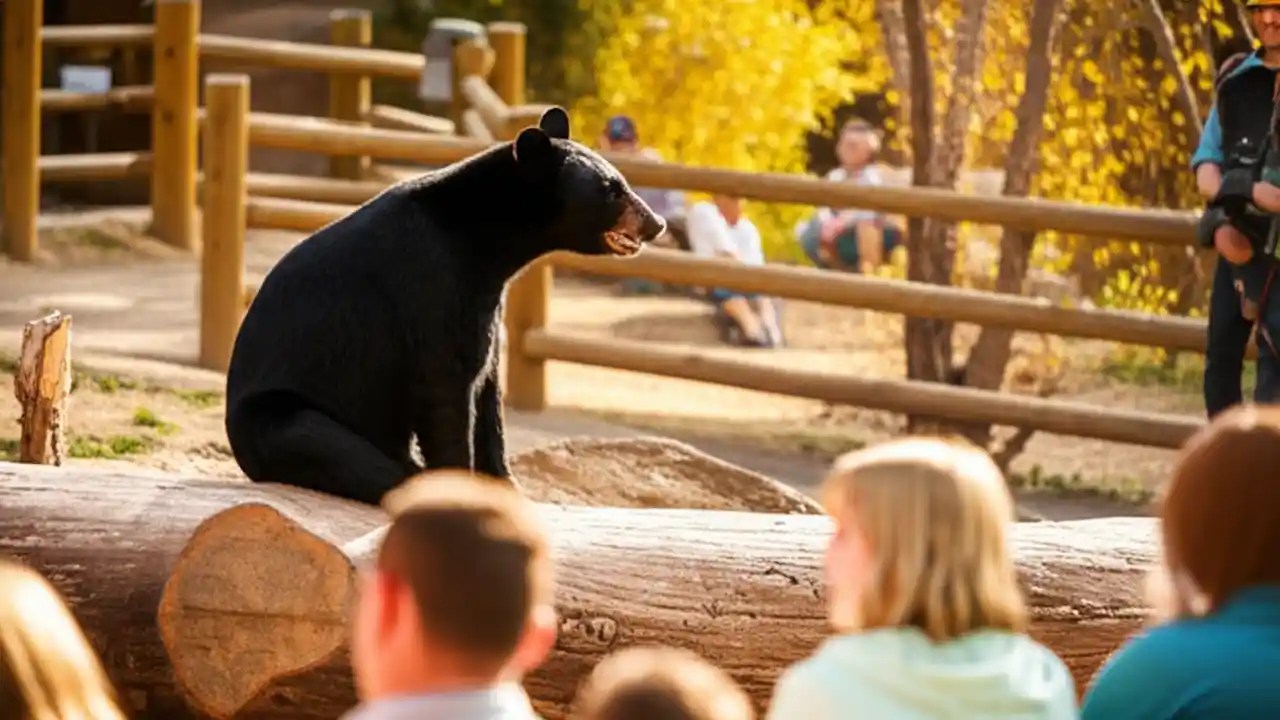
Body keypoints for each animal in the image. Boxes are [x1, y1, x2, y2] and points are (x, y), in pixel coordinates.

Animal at [223, 106, 666, 506]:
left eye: (621, 182)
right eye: (612, 189)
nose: (656, 222)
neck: (486, 244)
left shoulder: (486, 300)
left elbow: (489, 392)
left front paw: (509, 489)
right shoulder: (431, 284)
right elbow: (447, 385)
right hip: (275, 416)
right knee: (326, 443)